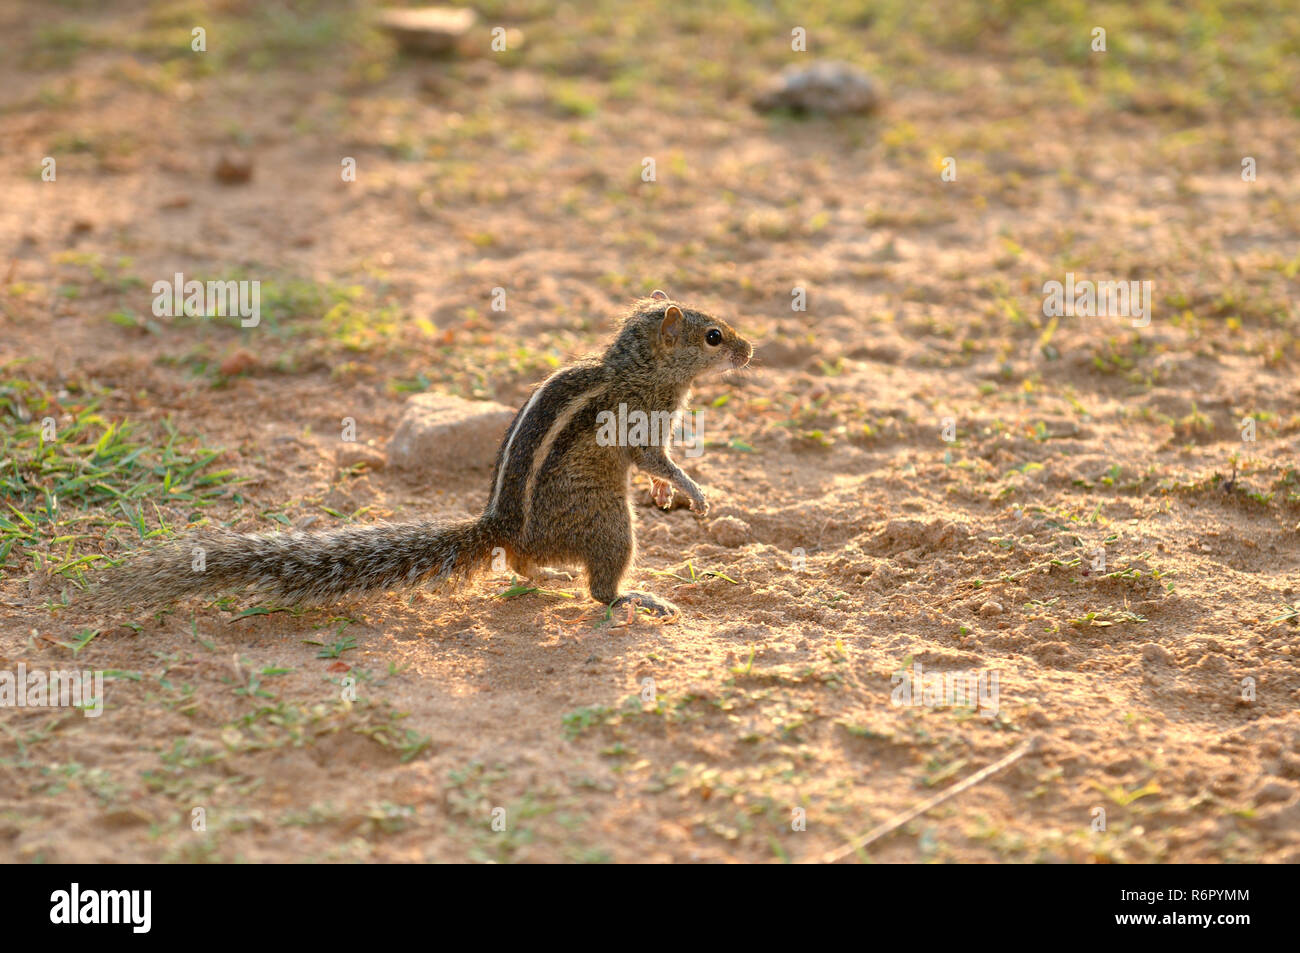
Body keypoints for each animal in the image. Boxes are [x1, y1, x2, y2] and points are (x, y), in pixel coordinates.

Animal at [86, 292, 753, 619]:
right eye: (713, 336)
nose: (752, 350)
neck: (636, 366)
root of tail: (499, 525)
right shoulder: (642, 419)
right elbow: (655, 459)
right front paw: (692, 492)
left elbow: (656, 468)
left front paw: (673, 492)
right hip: (611, 523)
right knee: (594, 587)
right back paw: (634, 598)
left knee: (521, 564)